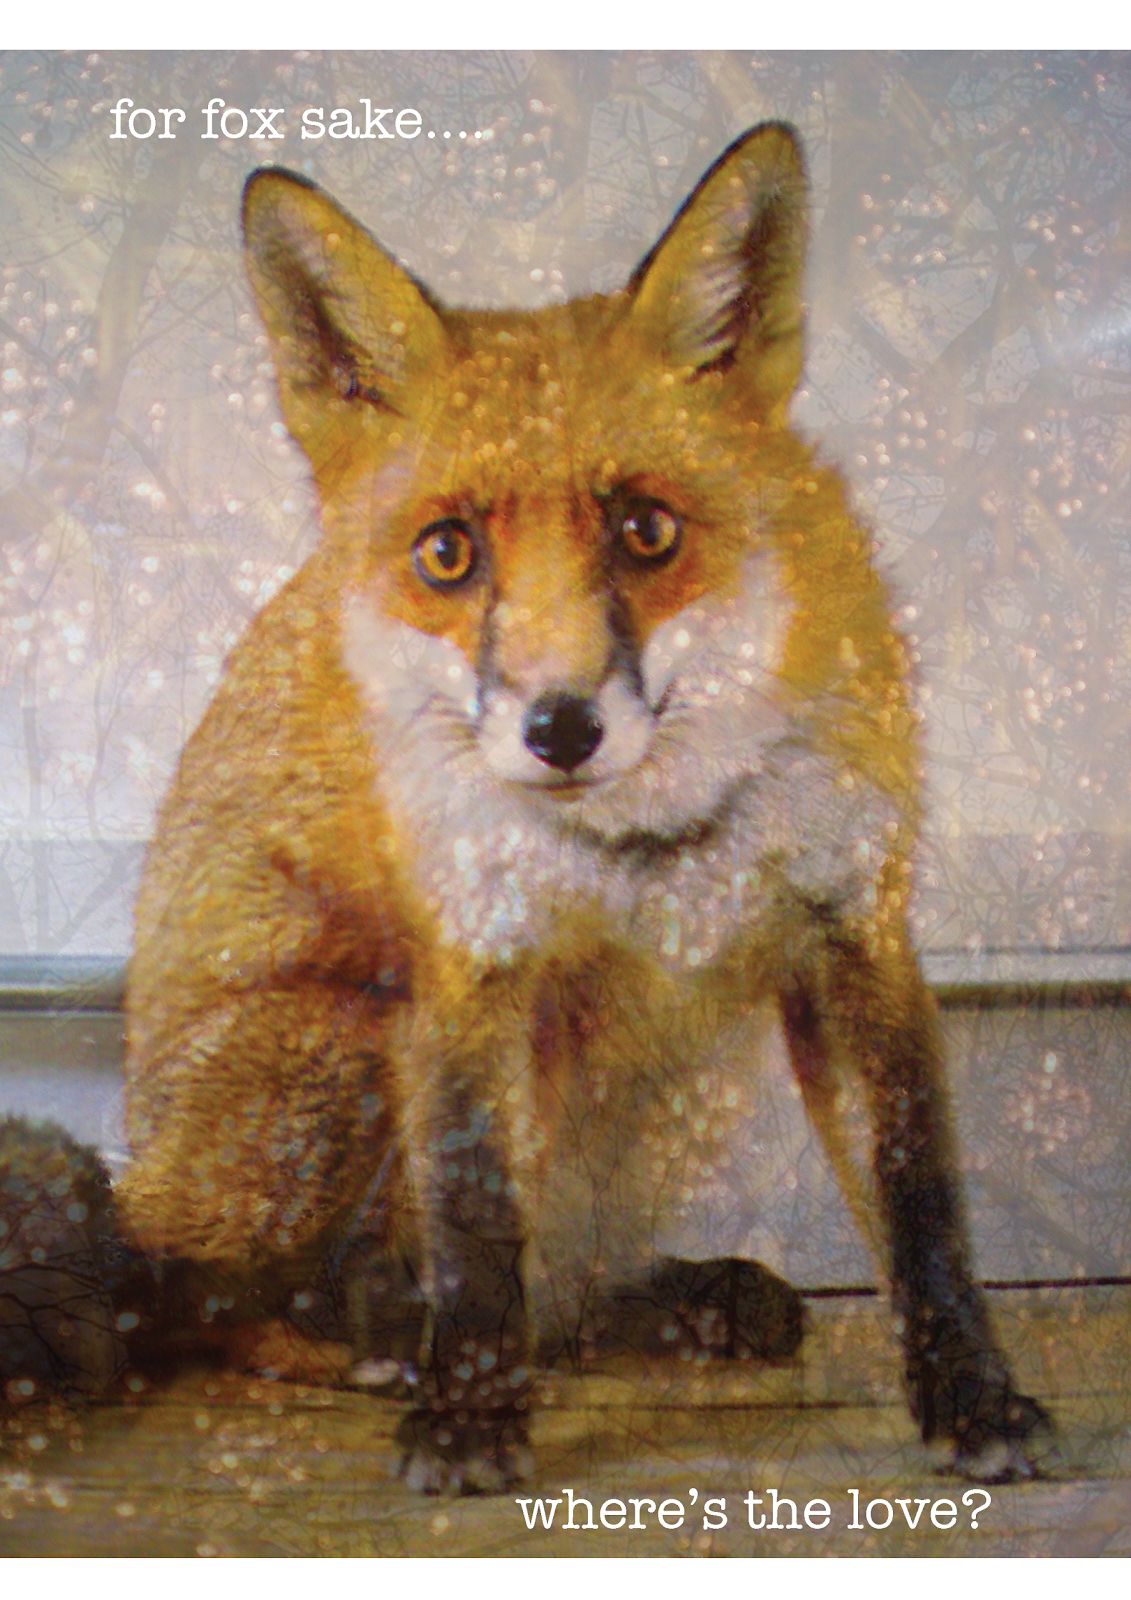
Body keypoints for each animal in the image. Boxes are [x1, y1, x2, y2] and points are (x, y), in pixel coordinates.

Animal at [0, 122, 1050, 1493]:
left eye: (646, 529)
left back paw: (662, 1307)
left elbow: (922, 1200)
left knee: (560, 1290)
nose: (559, 729)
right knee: (200, 1307)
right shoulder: (472, 963)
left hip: (662, 1094)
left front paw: (972, 1392)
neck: (649, 843)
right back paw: (380, 1344)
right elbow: (478, 1219)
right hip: (349, 1045)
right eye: (448, 553)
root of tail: (144, 1177)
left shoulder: (853, 931)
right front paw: (468, 1415)